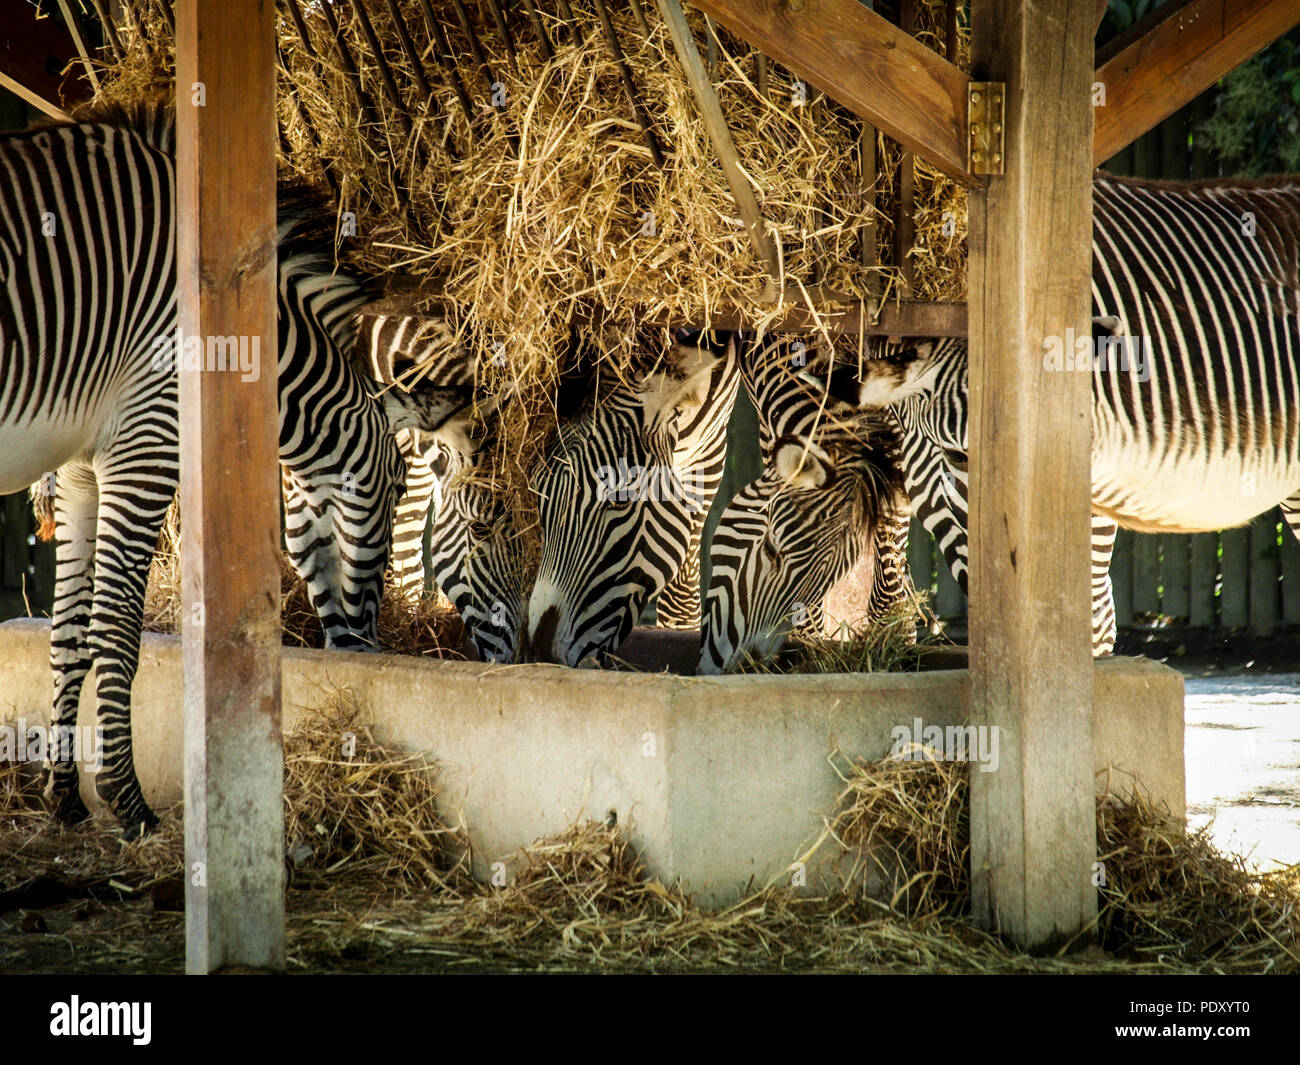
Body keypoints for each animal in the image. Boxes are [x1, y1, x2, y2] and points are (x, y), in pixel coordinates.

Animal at [0, 104, 470, 834]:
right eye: (395, 490)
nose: (369, 645)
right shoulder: (149, 437)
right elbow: (117, 630)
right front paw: (129, 804)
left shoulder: (81, 469)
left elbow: (69, 631)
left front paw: (66, 798)